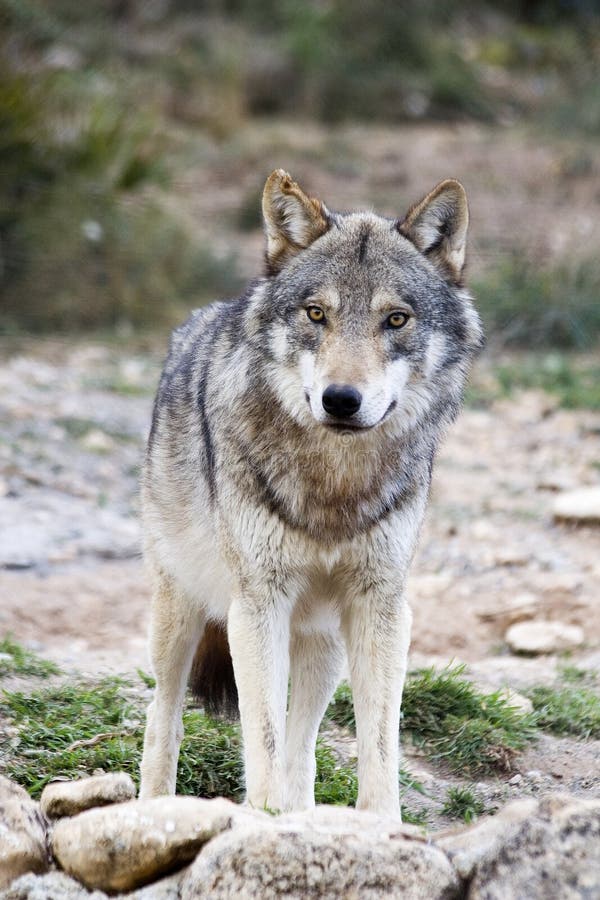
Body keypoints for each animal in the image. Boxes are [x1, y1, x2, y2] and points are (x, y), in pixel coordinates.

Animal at [139, 169, 483, 816]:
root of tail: (198, 320)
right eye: (317, 313)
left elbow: (378, 740)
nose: (341, 400)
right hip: (181, 610)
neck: (334, 488)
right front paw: (267, 822)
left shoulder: (381, 606)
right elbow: (262, 736)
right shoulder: (258, 605)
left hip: (323, 643)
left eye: (396, 320)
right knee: (163, 716)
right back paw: (154, 811)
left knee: (305, 747)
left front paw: (380, 826)